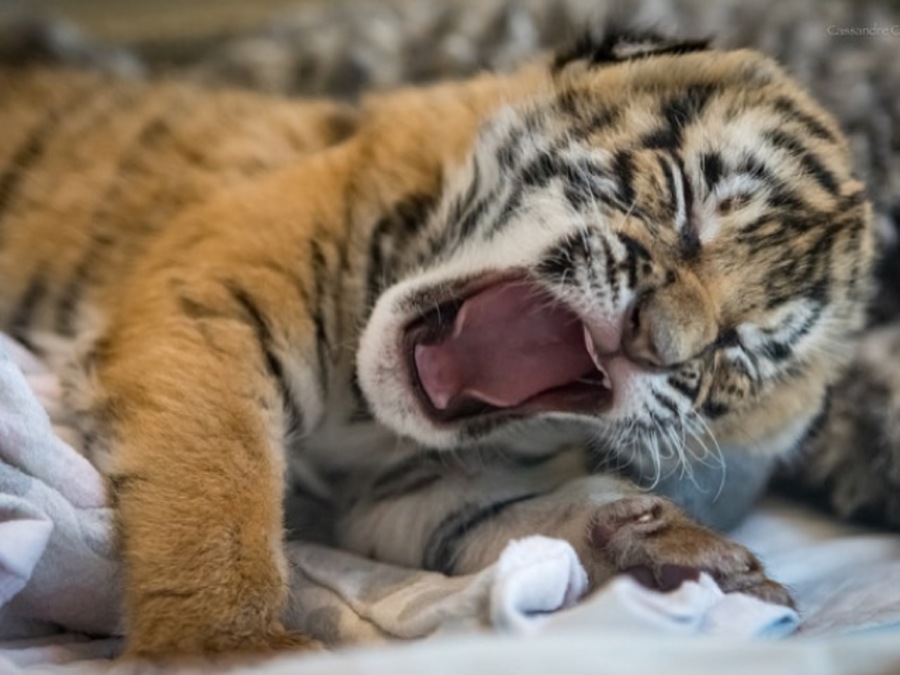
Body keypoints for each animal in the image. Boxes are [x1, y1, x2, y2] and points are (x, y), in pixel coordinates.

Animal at [0, 27, 874, 657]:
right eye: (686, 207)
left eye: (733, 349)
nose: (655, 340)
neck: (365, 412)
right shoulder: (214, 299)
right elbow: (218, 490)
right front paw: (228, 646)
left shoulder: (404, 489)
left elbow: (523, 516)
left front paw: (682, 557)